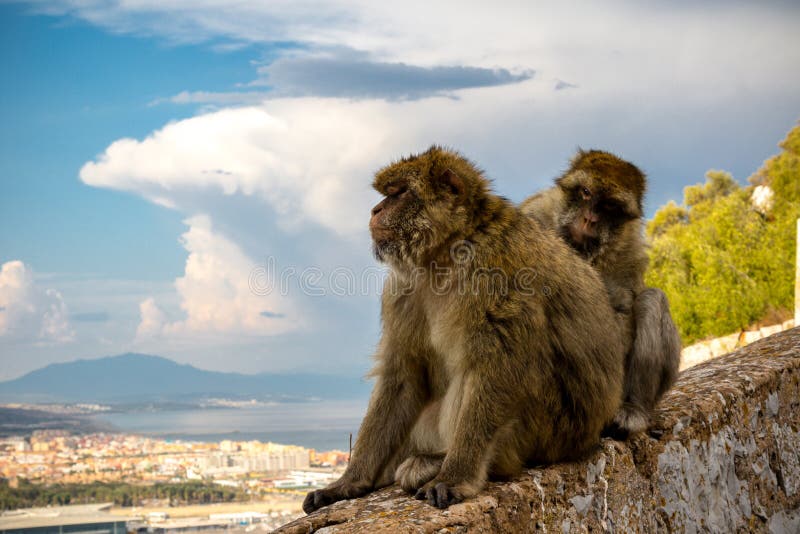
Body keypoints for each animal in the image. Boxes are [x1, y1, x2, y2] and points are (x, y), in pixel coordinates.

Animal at [303, 146, 625, 513]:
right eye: (388, 194)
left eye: (399, 193)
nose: (376, 210)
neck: (447, 252)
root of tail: (589, 437)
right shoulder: (402, 289)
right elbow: (403, 375)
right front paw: (348, 483)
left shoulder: (495, 273)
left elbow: (496, 369)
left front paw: (455, 477)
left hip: (549, 430)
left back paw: (439, 462)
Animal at [520, 149, 681, 438]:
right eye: (586, 193)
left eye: (608, 207)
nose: (589, 219)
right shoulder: (533, 216)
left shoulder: (630, 249)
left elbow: (622, 311)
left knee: (652, 299)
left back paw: (633, 410)